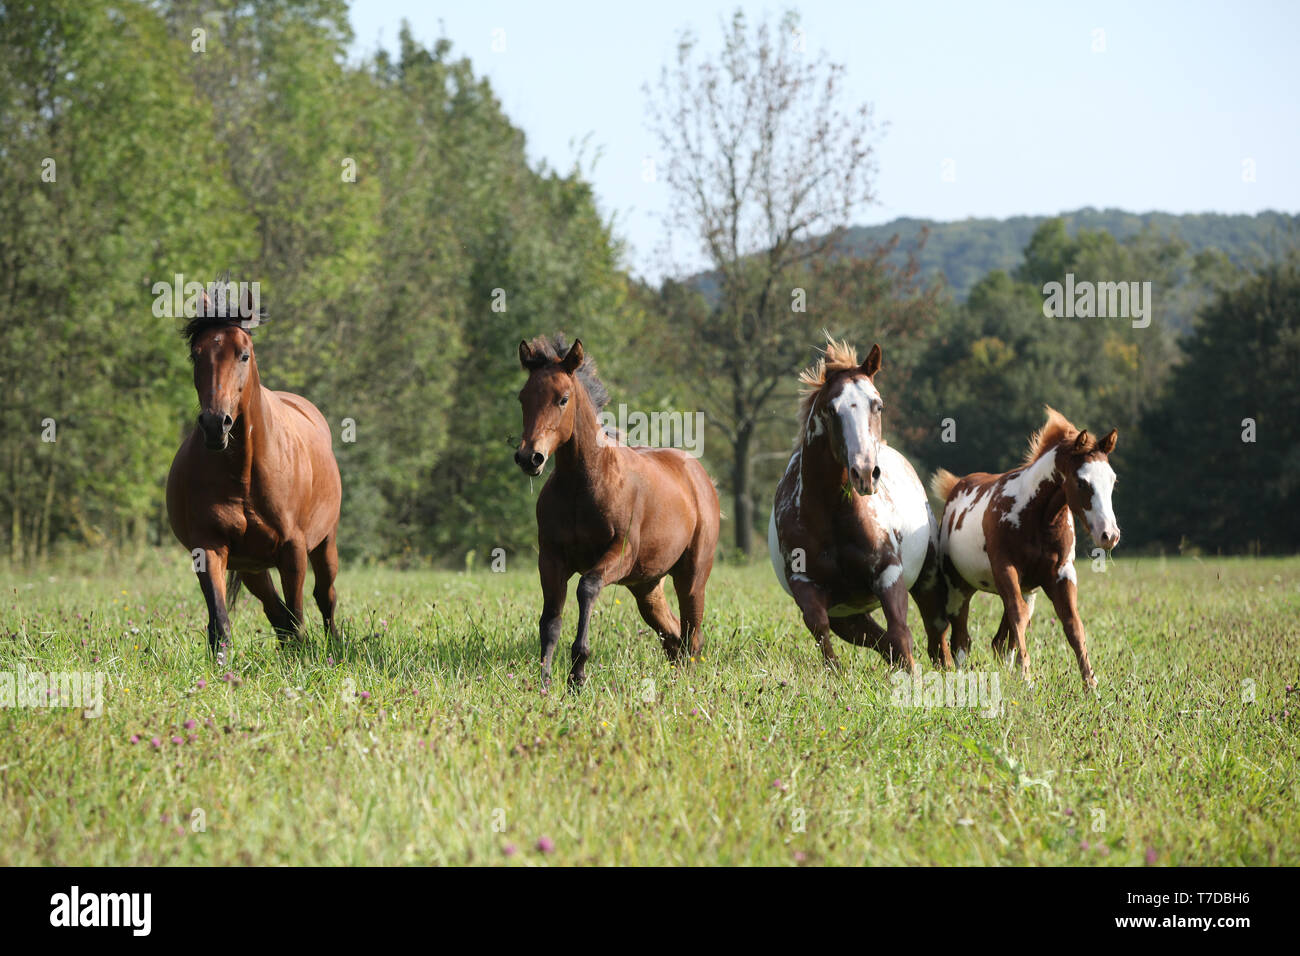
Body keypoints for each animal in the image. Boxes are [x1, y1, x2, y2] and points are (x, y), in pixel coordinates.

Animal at [166, 280, 342, 666]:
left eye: (243, 355)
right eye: (196, 355)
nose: (215, 424)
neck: (243, 476)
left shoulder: (293, 549)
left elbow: (298, 612)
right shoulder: (209, 547)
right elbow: (221, 620)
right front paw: (220, 667)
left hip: (325, 543)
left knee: (325, 597)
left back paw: (335, 647)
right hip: (252, 568)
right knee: (275, 611)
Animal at [514, 335, 720, 690]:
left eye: (563, 399)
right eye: (523, 398)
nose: (530, 457)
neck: (582, 485)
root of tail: (700, 476)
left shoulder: (620, 552)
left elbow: (587, 588)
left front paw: (578, 672)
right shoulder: (551, 559)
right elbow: (550, 620)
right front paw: (544, 682)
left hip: (692, 577)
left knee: (692, 635)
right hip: (647, 586)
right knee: (673, 635)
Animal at [768, 338, 950, 672]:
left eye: (878, 404)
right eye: (831, 409)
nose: (865, 473)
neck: (833, 516)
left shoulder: (889, 573)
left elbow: (900, 631)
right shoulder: (806, 583)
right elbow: (820, 626)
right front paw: (836, 674)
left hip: (929, 579)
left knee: (935, 631)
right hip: (848, 613)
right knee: (876, 638)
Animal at [930, 406, 1120, 689]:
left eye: (1113, 481)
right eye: (1082, 482)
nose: (1109, 534)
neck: (1037, 518)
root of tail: (956, 487)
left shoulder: (1062, 574)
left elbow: (1073, 624)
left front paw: (1091, 685)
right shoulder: (1005, 569)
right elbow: (1018, 617)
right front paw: (1027, 677)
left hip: (1027, 591)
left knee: (999, 641)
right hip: (958, 589)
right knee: (960, 639)